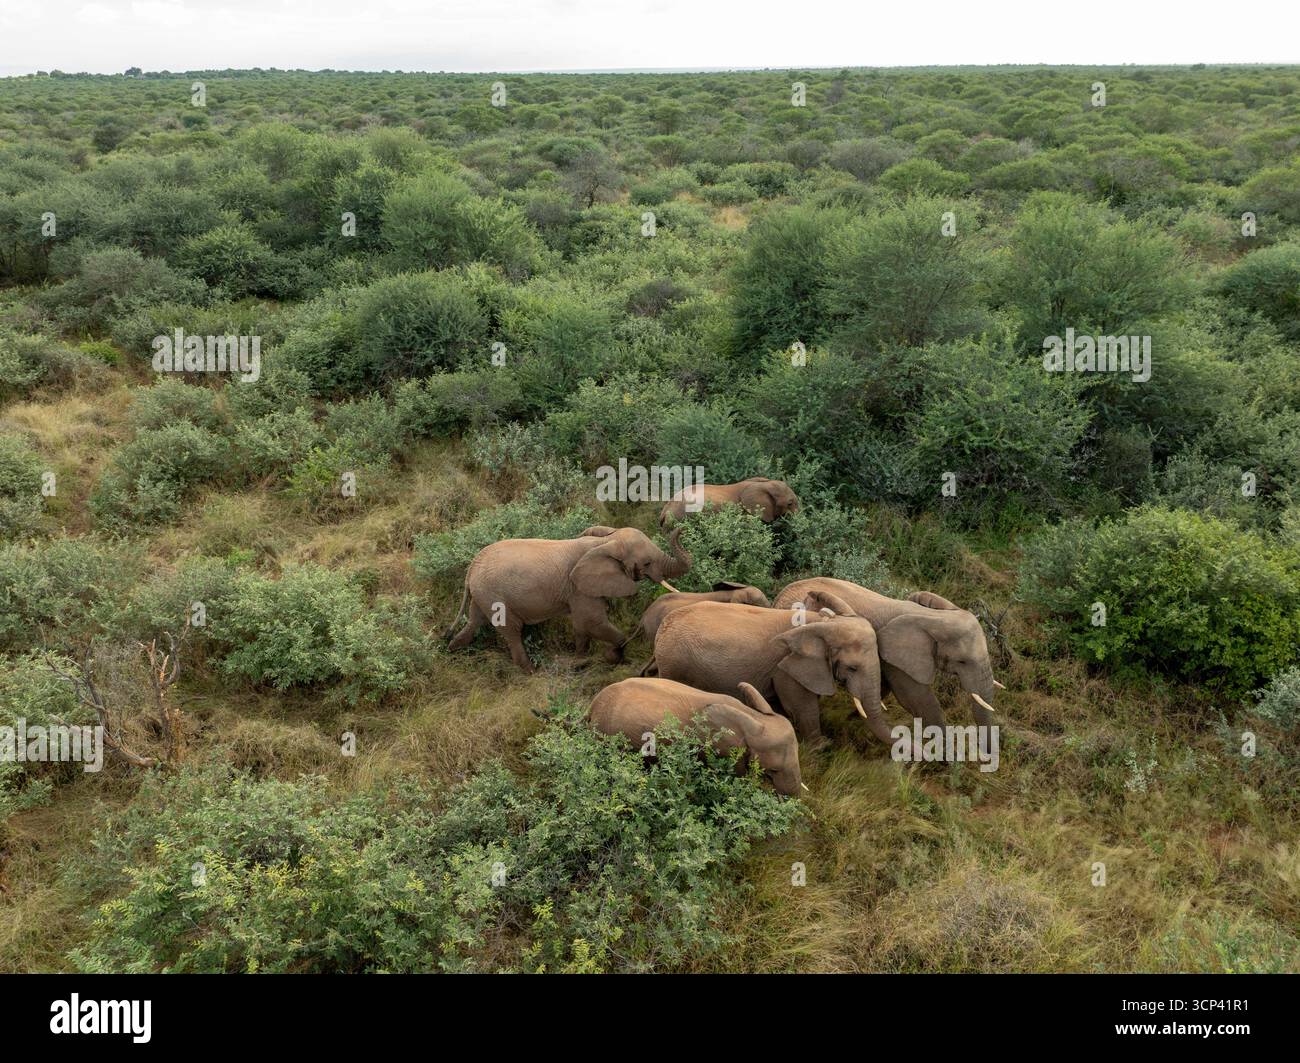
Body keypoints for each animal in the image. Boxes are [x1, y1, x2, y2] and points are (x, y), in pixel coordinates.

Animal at [445, 525, 691, 673]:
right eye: (647, 562)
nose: (681, 527)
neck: (605, 540)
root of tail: (471, 567)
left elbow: (582, 626)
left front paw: (581, 661)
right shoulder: (579, 587)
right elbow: (592, 622)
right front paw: (614, 658)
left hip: (483, 594)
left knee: (474, 622)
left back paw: (451, 651)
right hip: (493, 595)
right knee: (512, 630)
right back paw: (531, 673)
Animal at [650, 591, 889, 748]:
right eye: (852, 668)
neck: (823, 623)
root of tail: (661, 630)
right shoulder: (785, 670)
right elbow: (802, 706)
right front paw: (822, 746)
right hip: (675, 663)